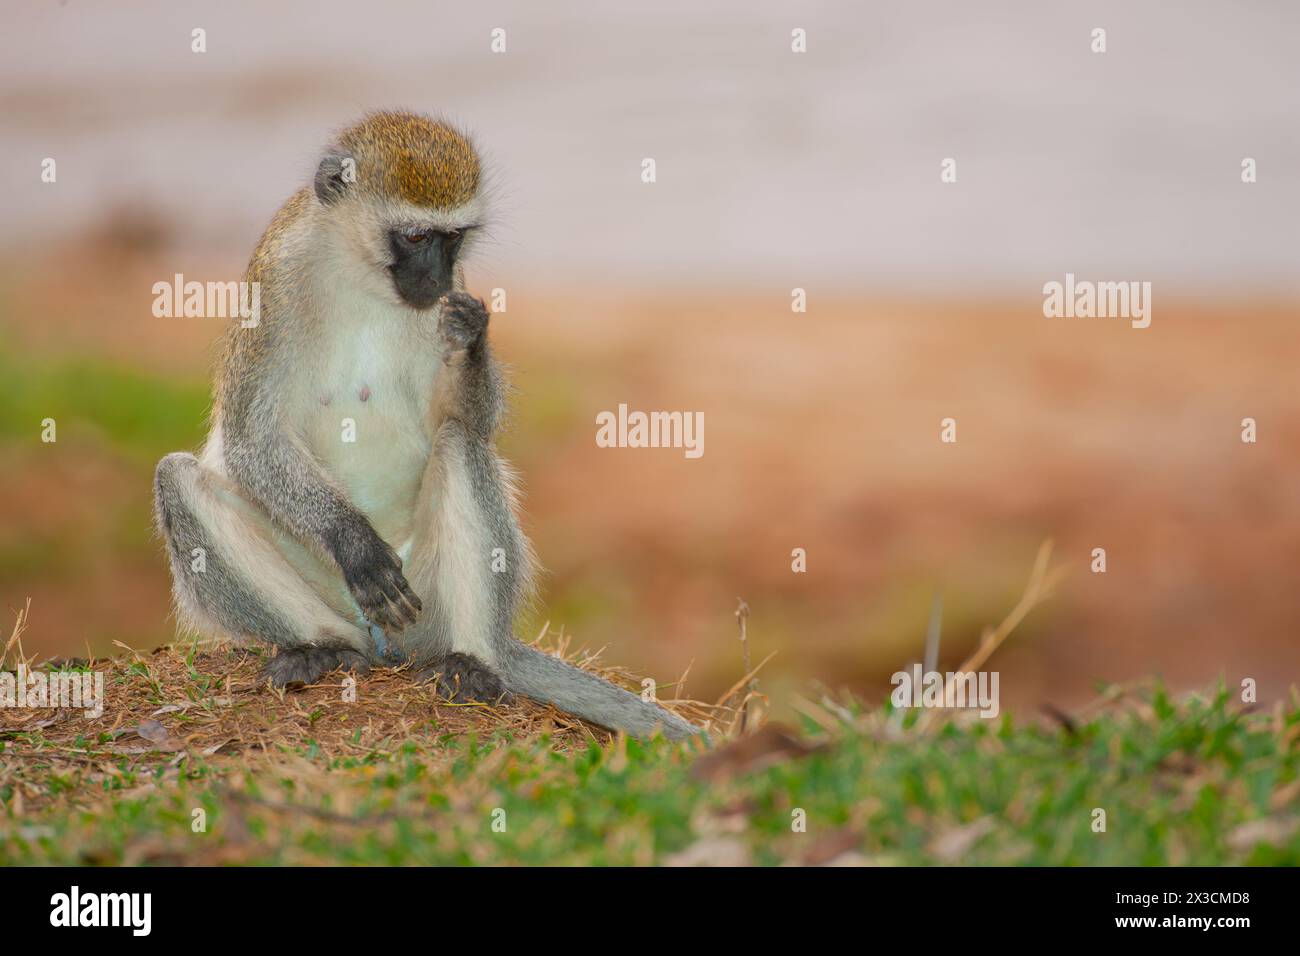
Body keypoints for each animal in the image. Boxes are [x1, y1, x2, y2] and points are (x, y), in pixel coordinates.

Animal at [152, 111, 701, 741]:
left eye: (453, 239)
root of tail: (393, 646)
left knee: (461, 446)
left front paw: (472, 339)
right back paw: (321, 648)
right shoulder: (274, 281)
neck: (357, 269)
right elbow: (250, 437)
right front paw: (355, 542)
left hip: (428, 600)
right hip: (337, 592)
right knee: (176, 477)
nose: (435, 277)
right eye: (415, 238)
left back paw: (472, 663)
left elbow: (463, 420)